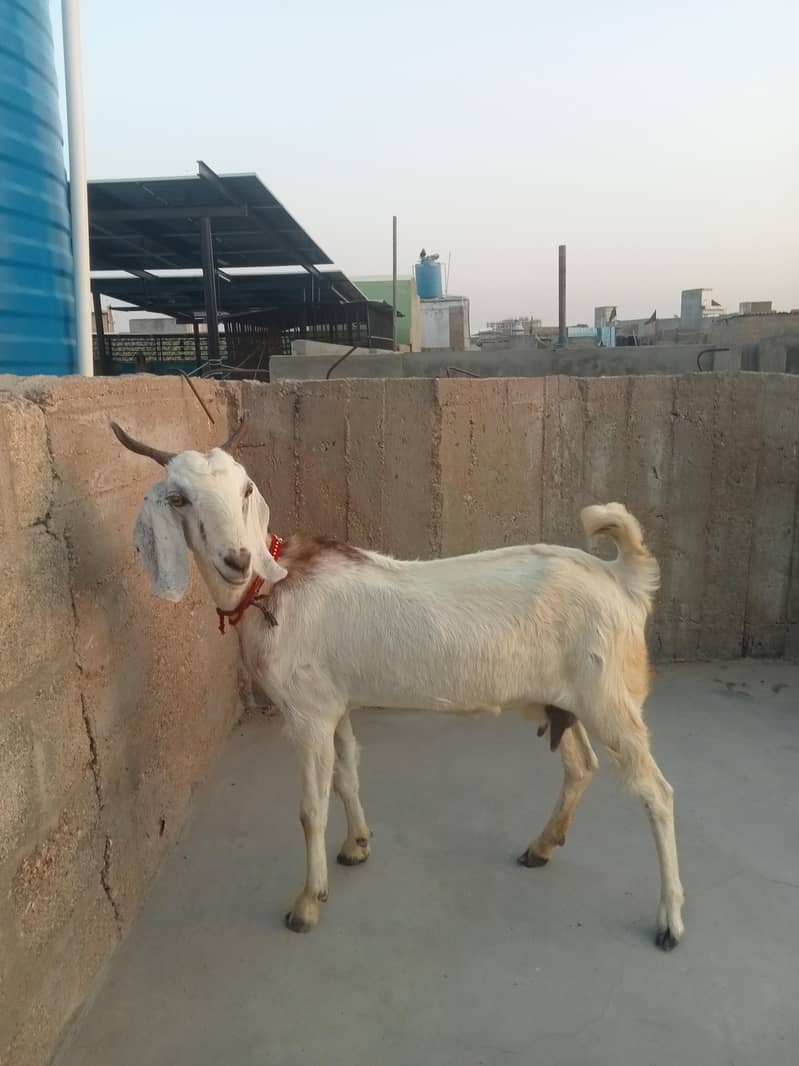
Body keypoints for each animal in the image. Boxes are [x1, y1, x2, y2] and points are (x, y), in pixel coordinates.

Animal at [112, 420, 685, 950]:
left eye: (246, 489)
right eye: (180, 498)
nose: (237, 558)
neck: (272, 589)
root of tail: (623, 579)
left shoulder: (306, 714)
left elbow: (310, 808)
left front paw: (307, 903)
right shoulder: (335, 705)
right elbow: (346, 775)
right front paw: (357, 846)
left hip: (609, 696)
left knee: (657, 792)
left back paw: (670, 920)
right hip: (555, 697)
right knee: (581, 766)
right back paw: (541, 848)